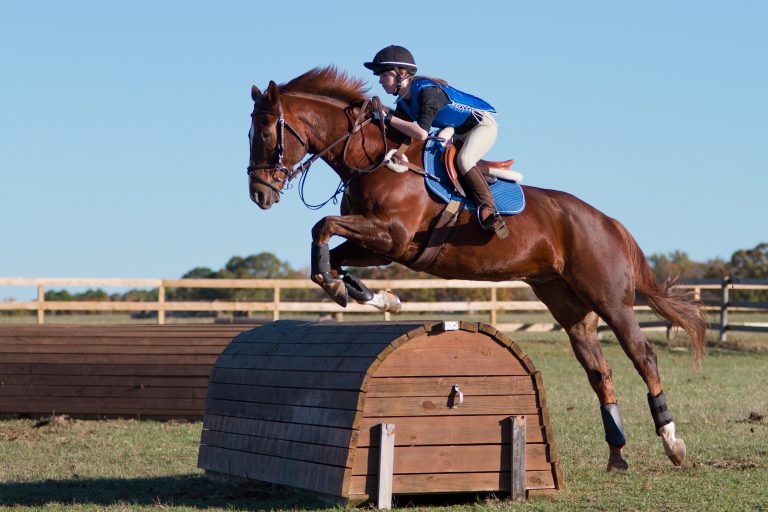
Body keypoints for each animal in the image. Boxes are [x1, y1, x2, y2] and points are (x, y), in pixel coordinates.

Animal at [246, 66, 707, 473]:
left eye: (266, 134)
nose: (259, 194)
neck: (372, 156)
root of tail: (607, 221)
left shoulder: (392, 237)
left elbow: (322, 226)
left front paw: (358, 292)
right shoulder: (376, 244)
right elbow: (326, 250)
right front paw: (370, 295)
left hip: (609, 298)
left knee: (643, 355)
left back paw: (673, 443)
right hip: (568, 305)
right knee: (599, 371)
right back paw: (616, 454)